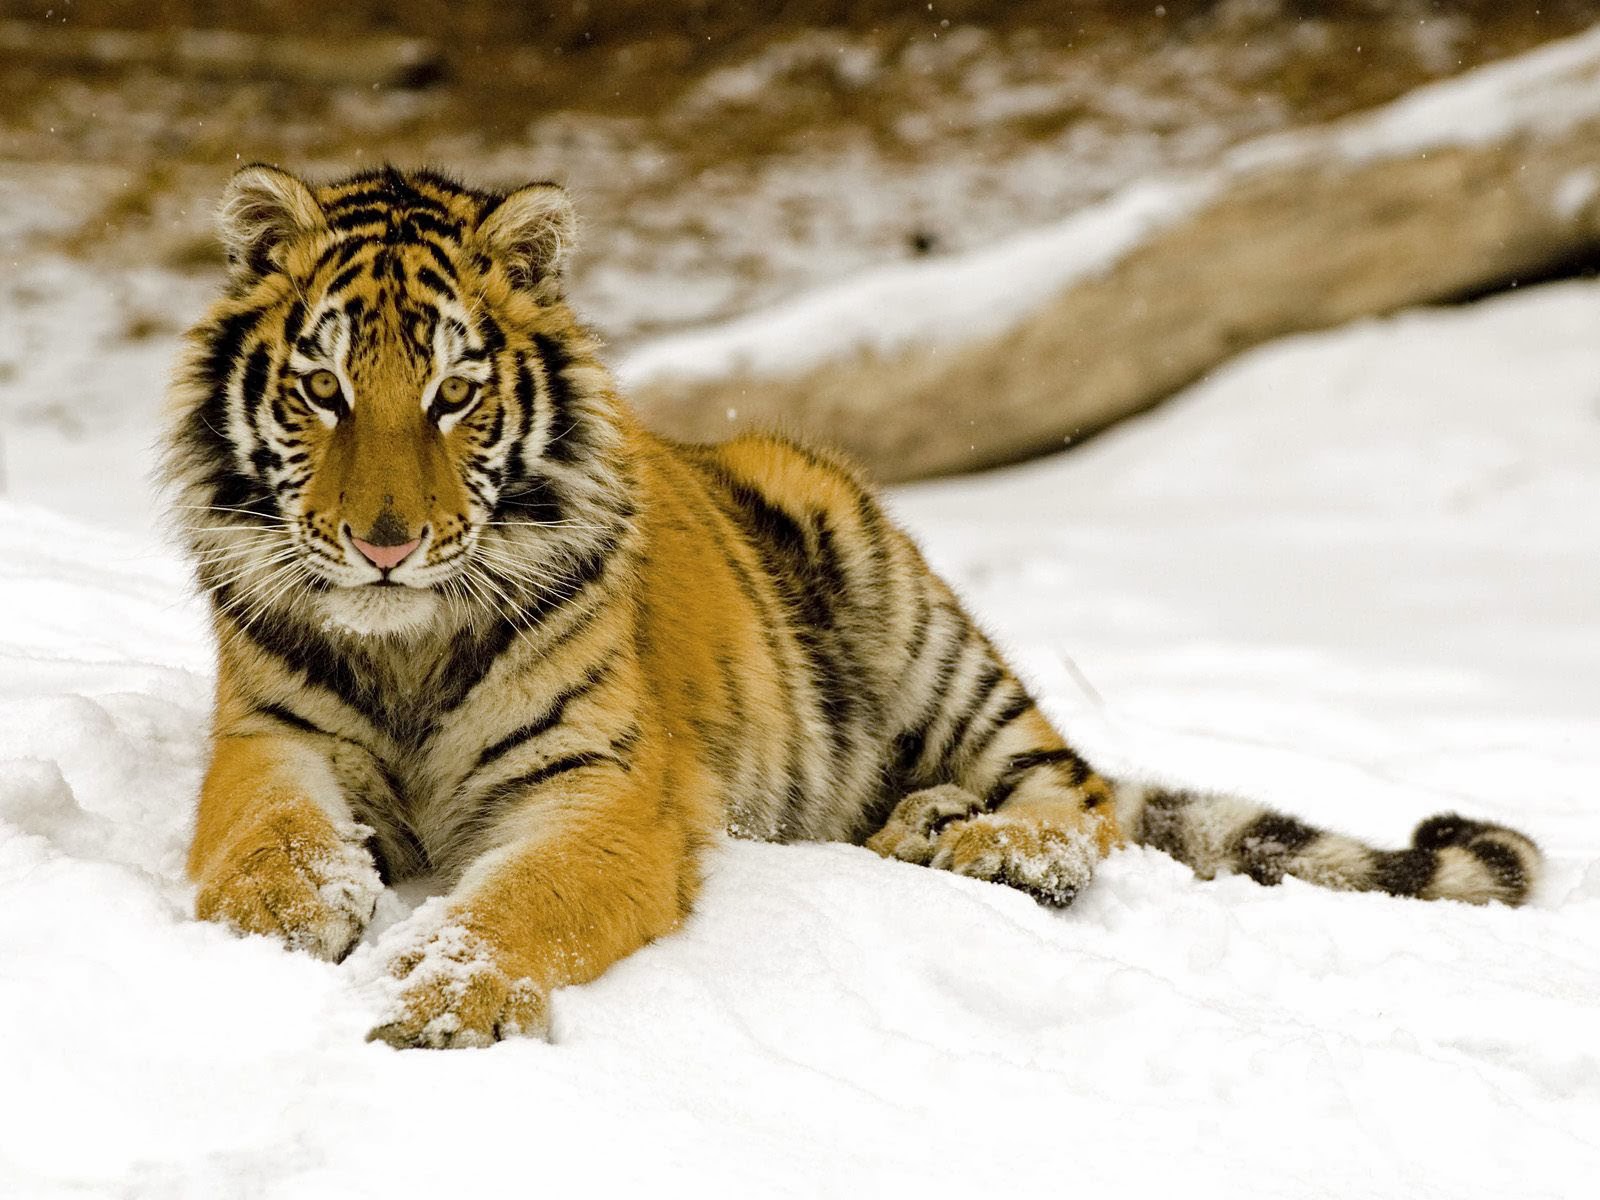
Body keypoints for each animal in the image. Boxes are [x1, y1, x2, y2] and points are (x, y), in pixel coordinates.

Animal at [163, 164, 1543, 1049]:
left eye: (454, 394)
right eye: (324, 390)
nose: (385, 544)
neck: (406, 643)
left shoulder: (605, 790)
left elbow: (520, 902)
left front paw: (443, 999)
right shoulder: (269, 735)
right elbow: (266, 834)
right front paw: (282, 922)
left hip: (904, 604)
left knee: (1080, 794)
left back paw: (994, 844)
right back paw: (923, 825)